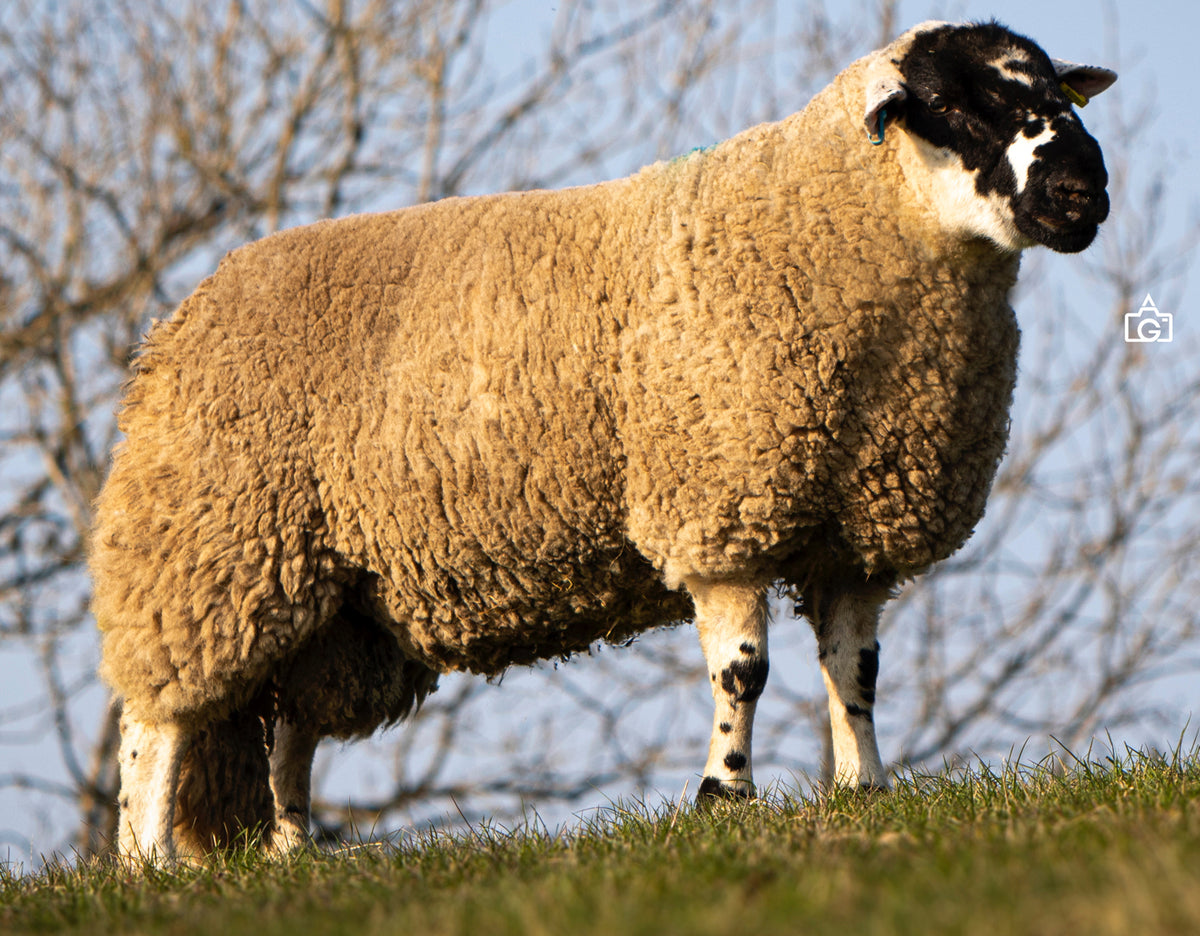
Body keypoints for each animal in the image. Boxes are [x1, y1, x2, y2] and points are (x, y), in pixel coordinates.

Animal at [90, 19, 1116, 860]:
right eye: (952, 104)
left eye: (1060, 95)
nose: (1084, 189)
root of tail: (182, 319)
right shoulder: (718, 509)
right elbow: (745, 674)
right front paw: (723, 797)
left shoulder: (855, 534)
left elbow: (854, 672)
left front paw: (866, 789)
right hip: (202, 550)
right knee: (156, 726)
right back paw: (148, 867)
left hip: (326, 598)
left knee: (291, 730)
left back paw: (294, 855)